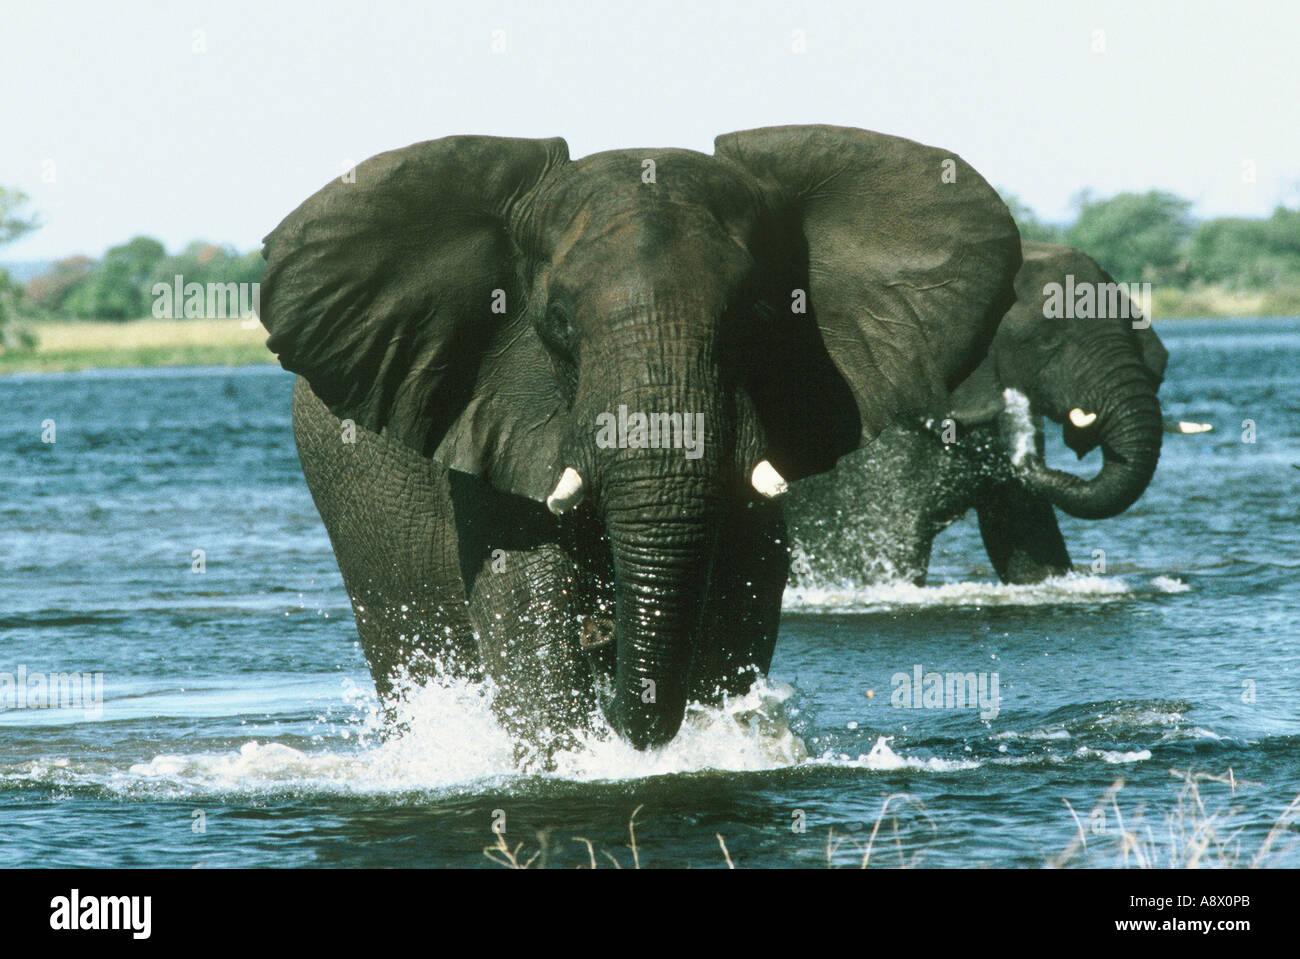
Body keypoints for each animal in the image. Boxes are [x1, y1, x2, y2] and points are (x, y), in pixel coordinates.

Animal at [259, 125, 1022, 752]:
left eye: (756, 317)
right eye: (557, 322)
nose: (609, 640)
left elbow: (744, 582)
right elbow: (524, 589)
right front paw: (567, 761)